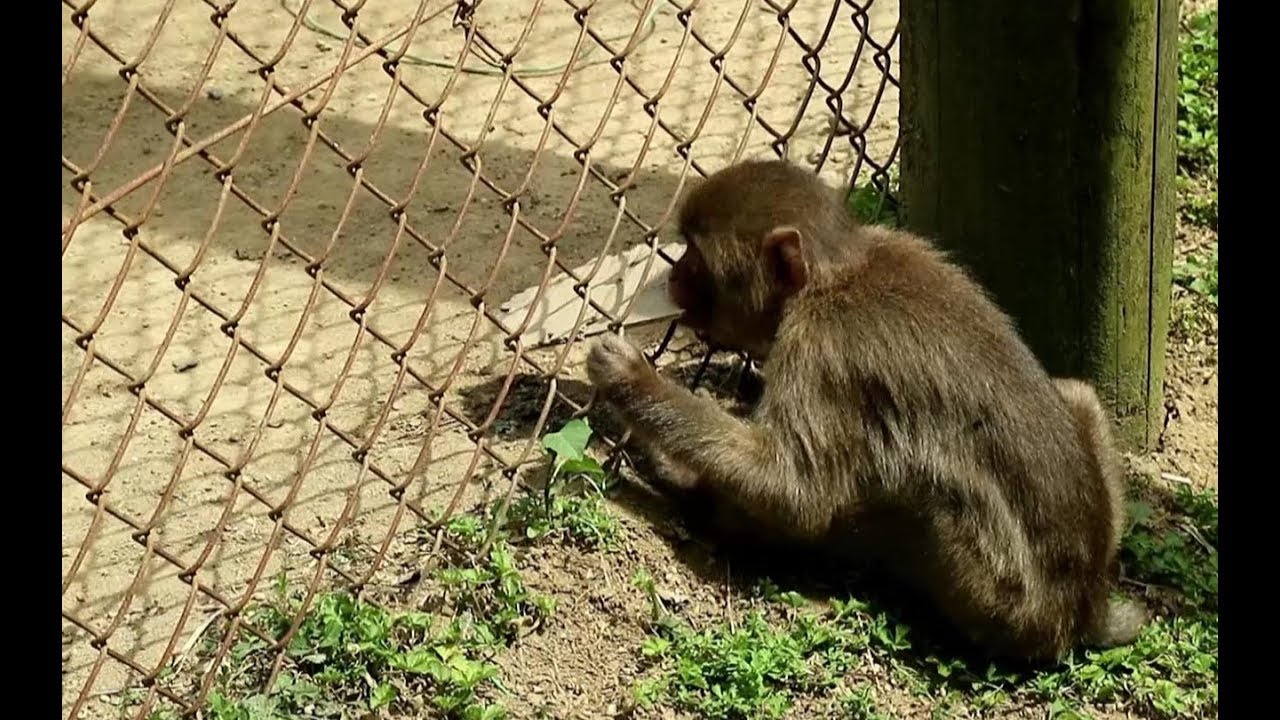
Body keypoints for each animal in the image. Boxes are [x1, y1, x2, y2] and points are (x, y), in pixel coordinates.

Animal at [586, 159, 1147, 664]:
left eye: (697, 259)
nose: (675, 274)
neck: (836, 273)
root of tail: (1083, 604)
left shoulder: (821, 348)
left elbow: (797, 493)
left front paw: (633, 382)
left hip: (1000, 600)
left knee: (919, 489)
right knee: (1075, 393)